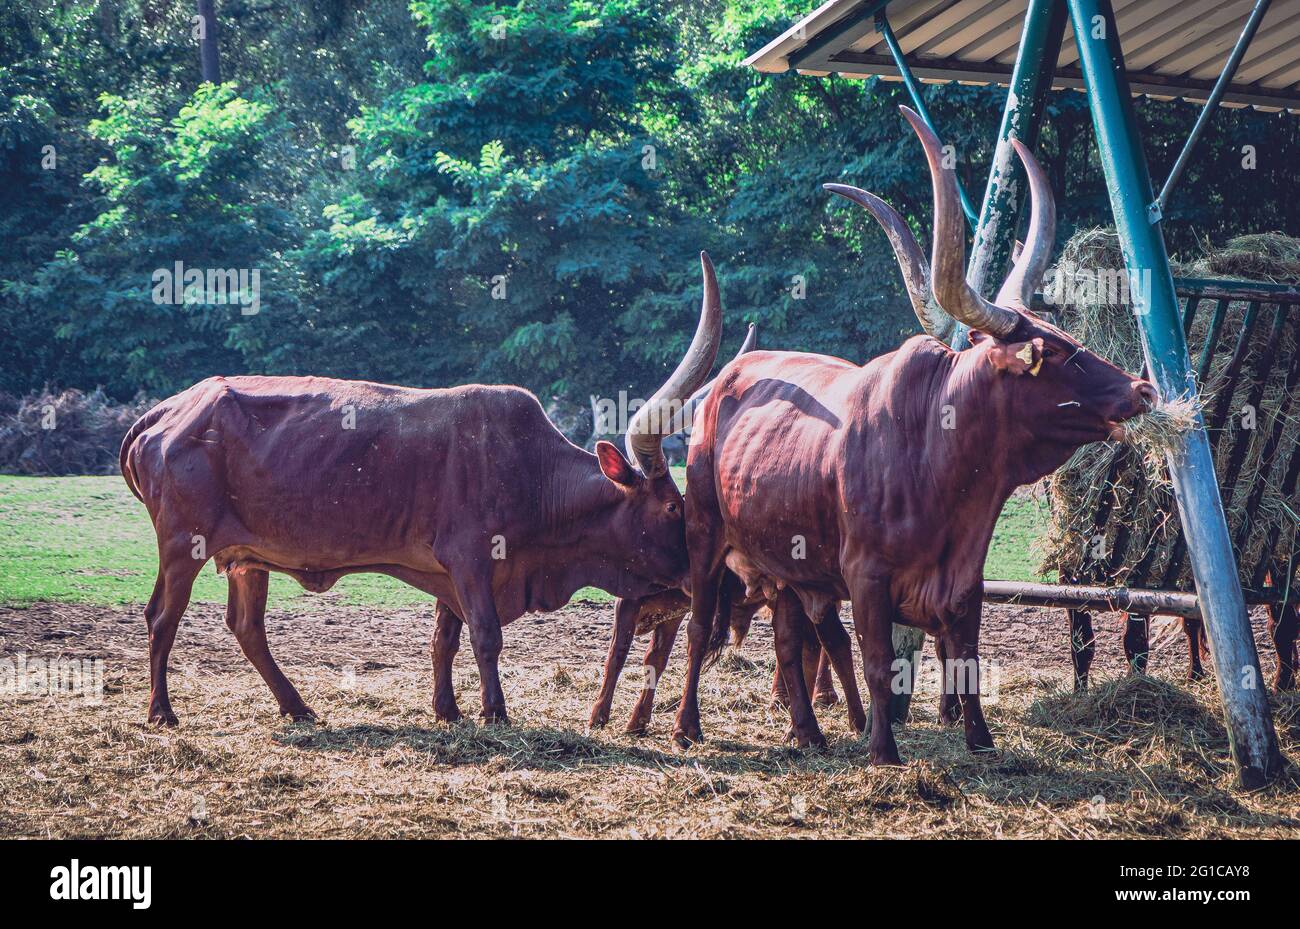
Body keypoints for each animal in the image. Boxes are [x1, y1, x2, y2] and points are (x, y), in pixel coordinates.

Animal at [119, 254, 724, 727]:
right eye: (673, 506)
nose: (701, 582)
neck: (535, 474)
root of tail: (170, 409)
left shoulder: (447, 571)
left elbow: (445, 639)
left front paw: (448, 710)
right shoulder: (471, 558)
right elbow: (485, 636)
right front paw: (495, 712)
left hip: (247, 557)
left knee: (247, 628)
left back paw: (297, 707)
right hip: (183, 545)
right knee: (161, 617)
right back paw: (162, 711)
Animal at [668, 107, 1156, 761]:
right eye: (1052, 353)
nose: (1143, 389)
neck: (937, 458)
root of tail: (725, 380)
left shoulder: (966, 580)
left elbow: (964, 657)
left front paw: (980, 741)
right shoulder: (866, 576)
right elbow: (878, 662)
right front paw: (883, 749)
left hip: (786, 565)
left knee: (790, 642)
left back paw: (808, 732)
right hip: (703, 531)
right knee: (699, 627)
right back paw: (684, 725)